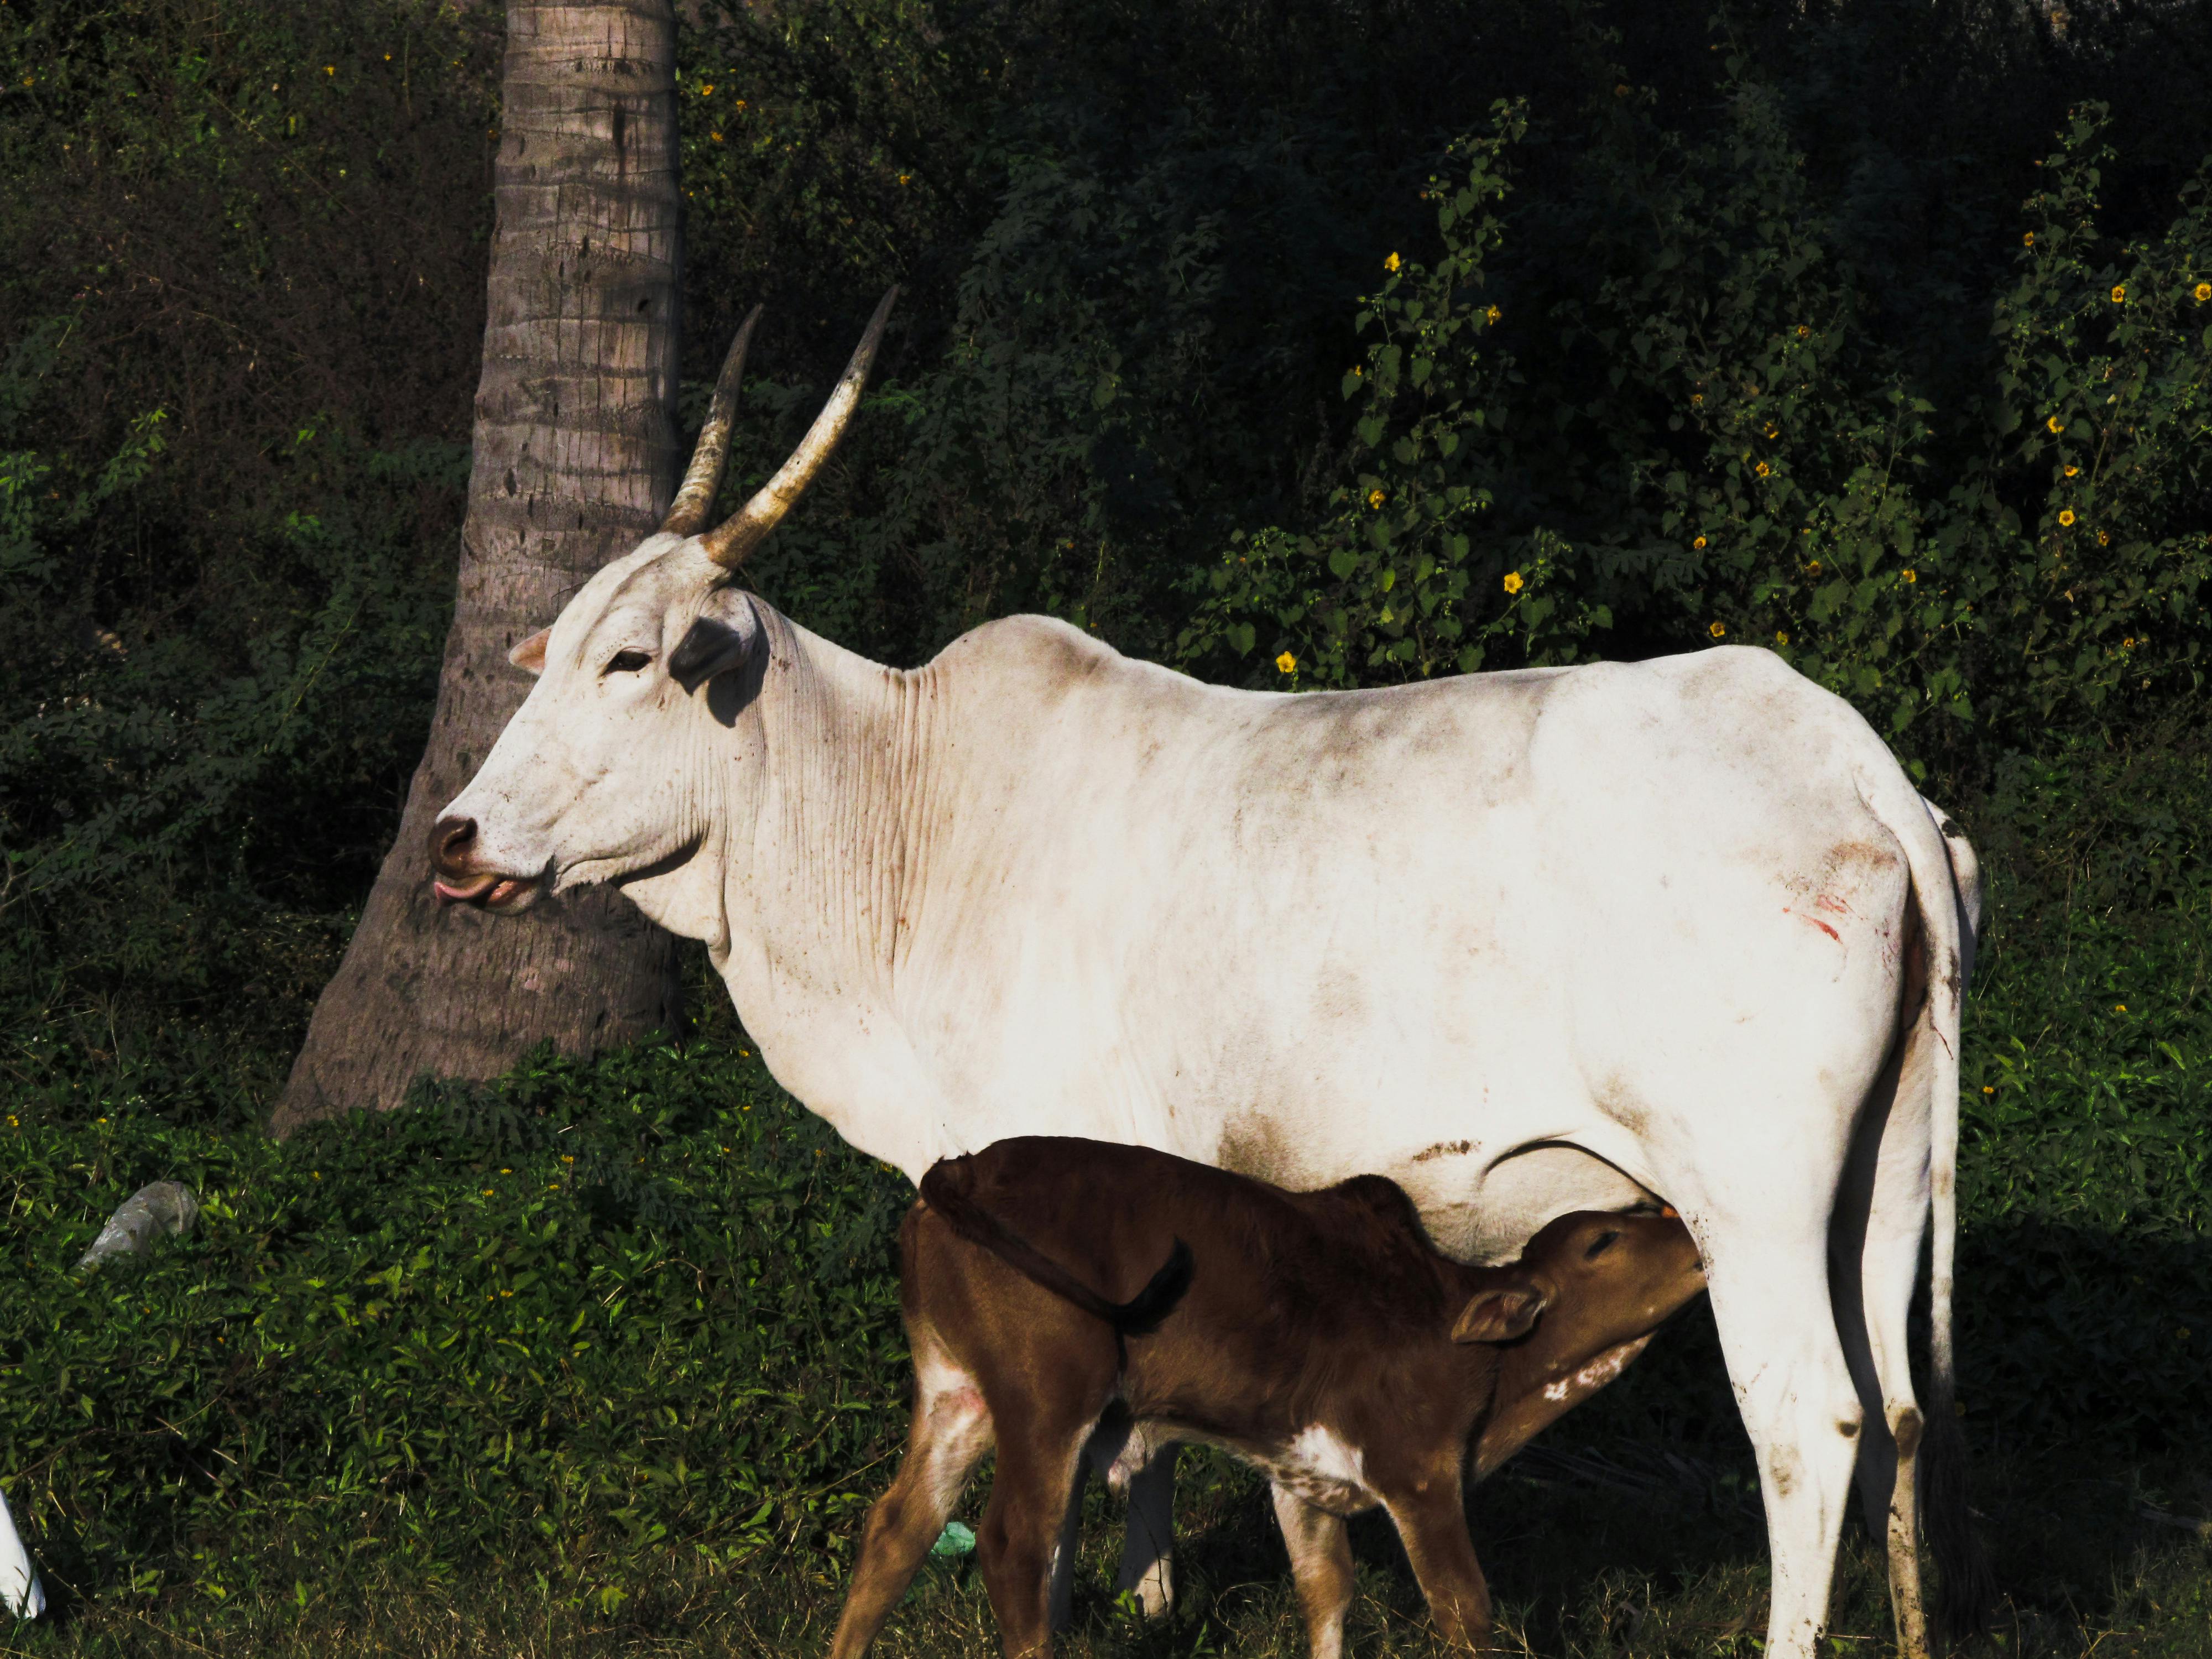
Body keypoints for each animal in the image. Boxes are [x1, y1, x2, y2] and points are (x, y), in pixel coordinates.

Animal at [828, 1137, 1709, 1659]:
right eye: (1604, 1241)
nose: (1698, 1239)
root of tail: (961, 1169)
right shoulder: (1418, 1471)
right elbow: (1463, 1608)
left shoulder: (1302, 1480)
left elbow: (1326, 1593)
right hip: (1046, 1393)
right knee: (1012, 1545)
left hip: (955, 1392)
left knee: (897, 1529)